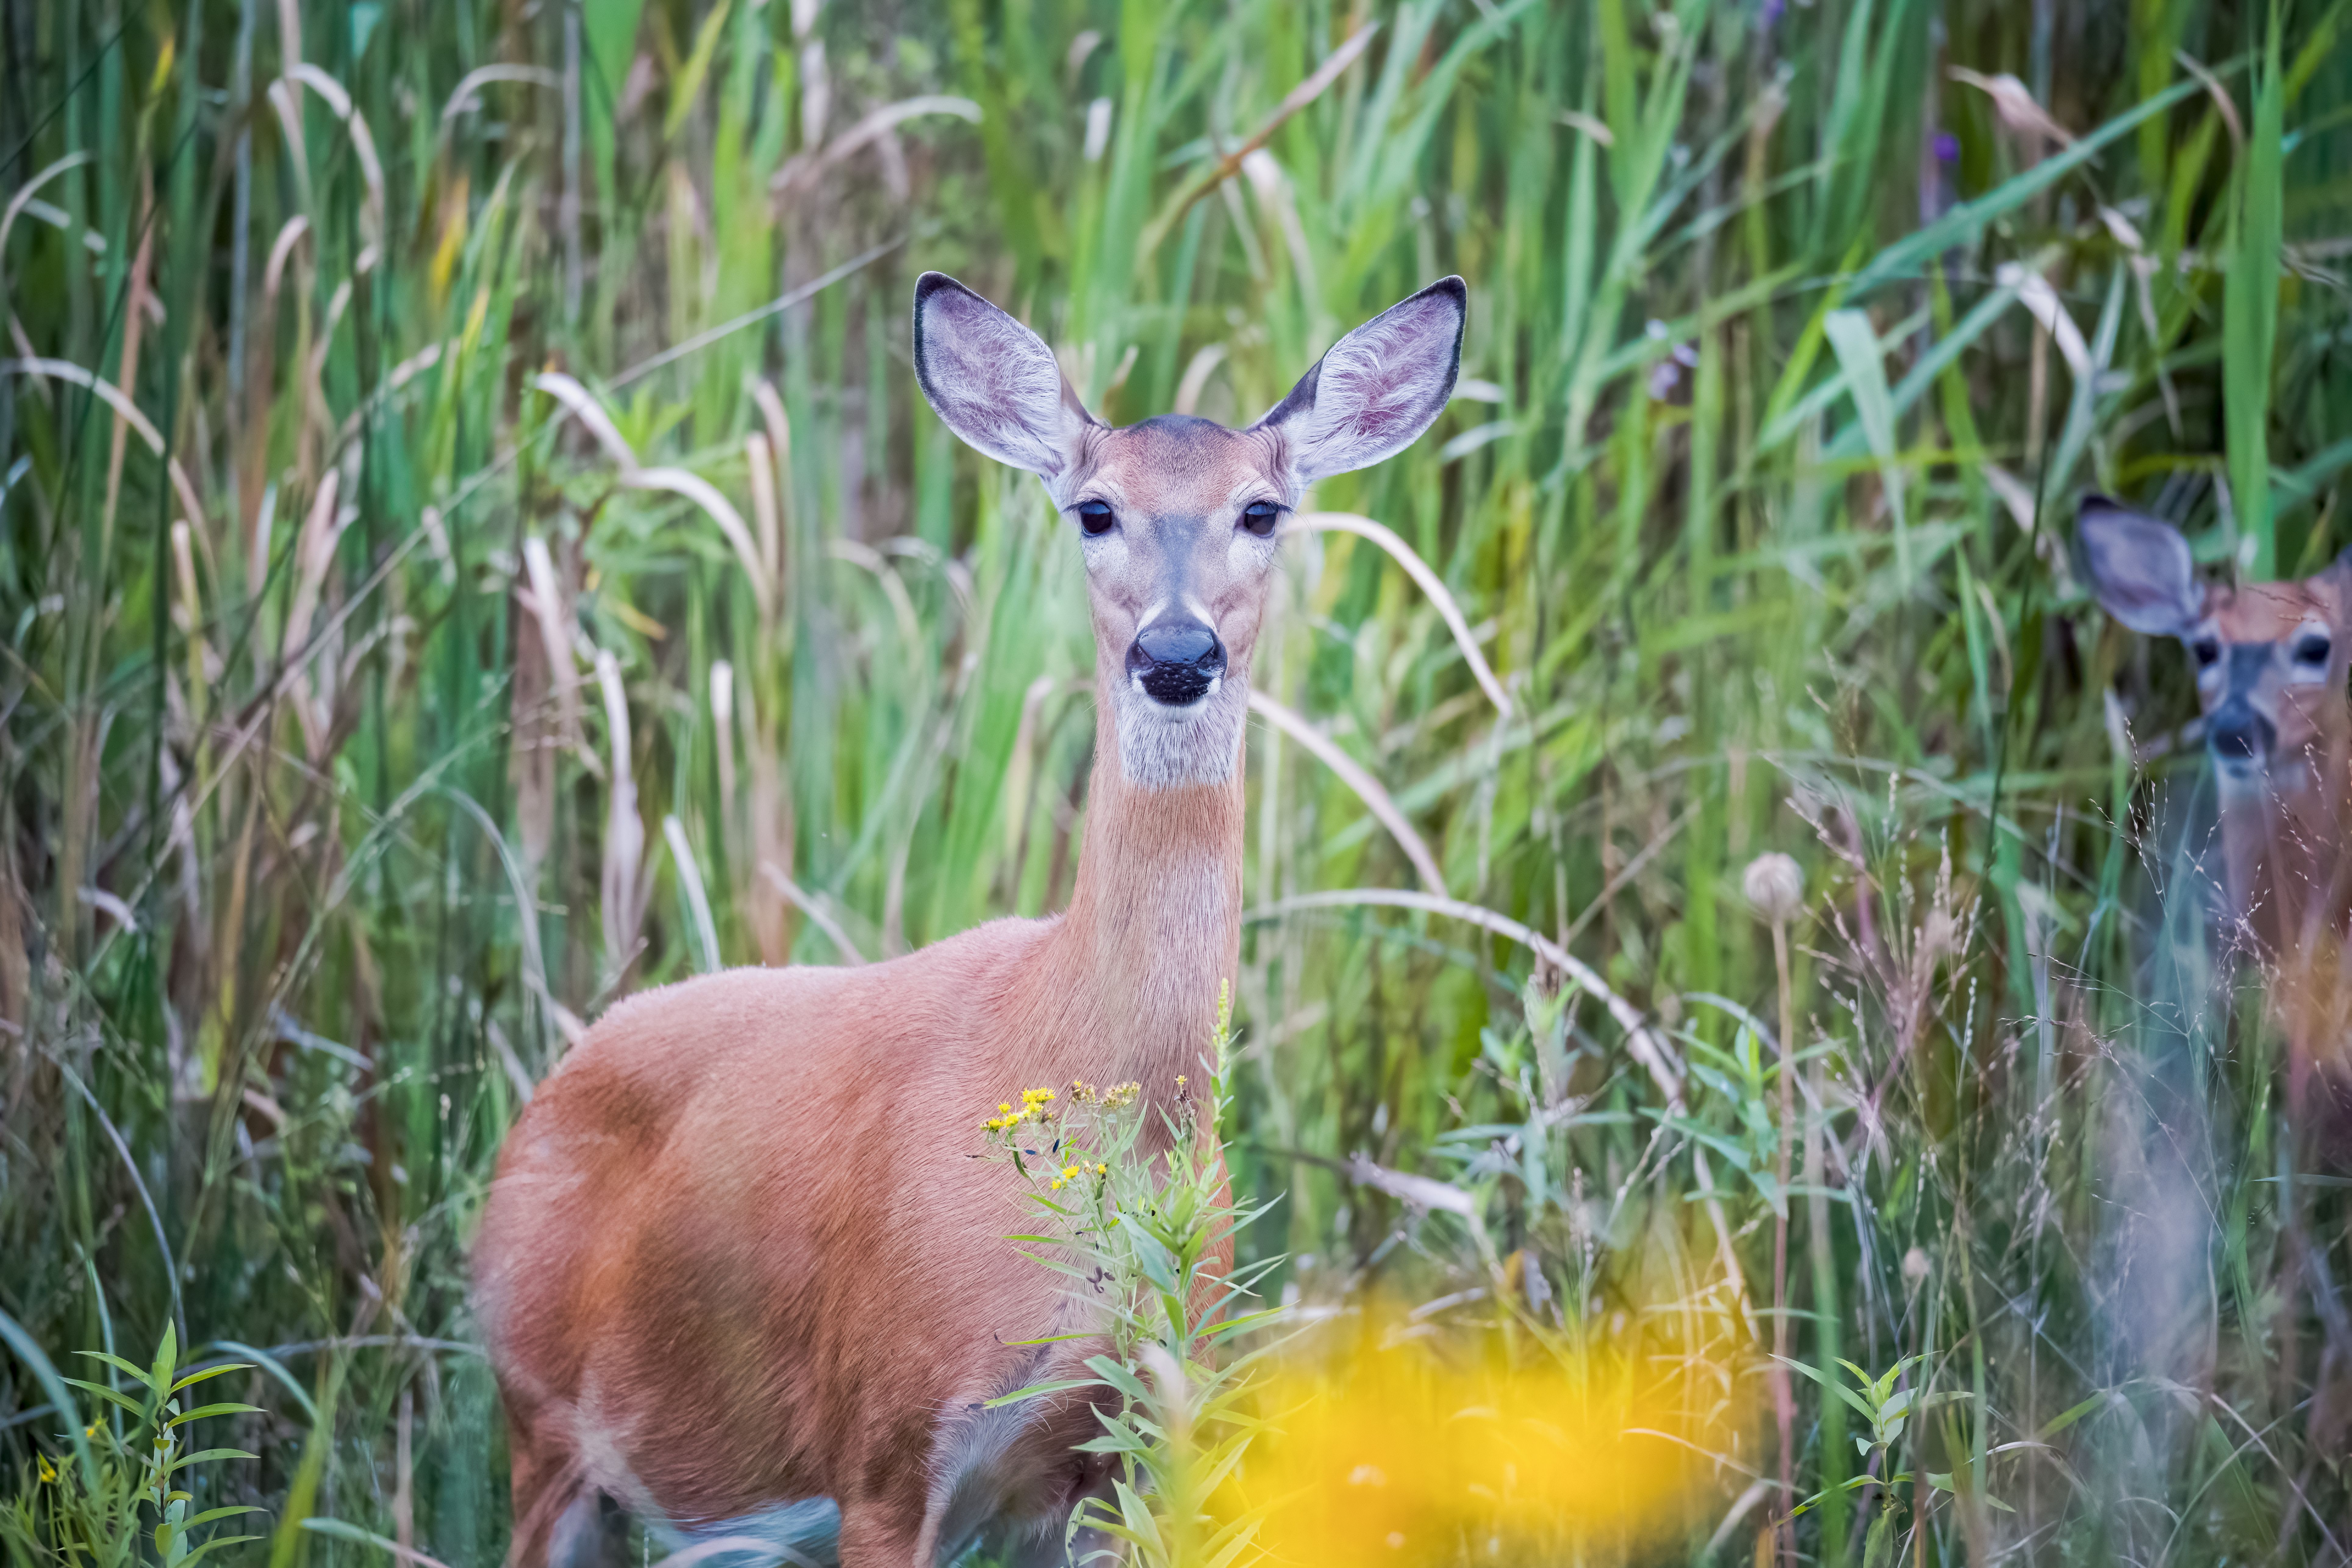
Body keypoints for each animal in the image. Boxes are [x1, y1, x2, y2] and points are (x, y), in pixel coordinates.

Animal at [472, 271, 1468, 1568]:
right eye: (1094, 509)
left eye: (1262, 510)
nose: (1177, 650)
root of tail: (549, 1083)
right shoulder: (884, 1445)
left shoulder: (1125, 1450)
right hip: (538, 1414)